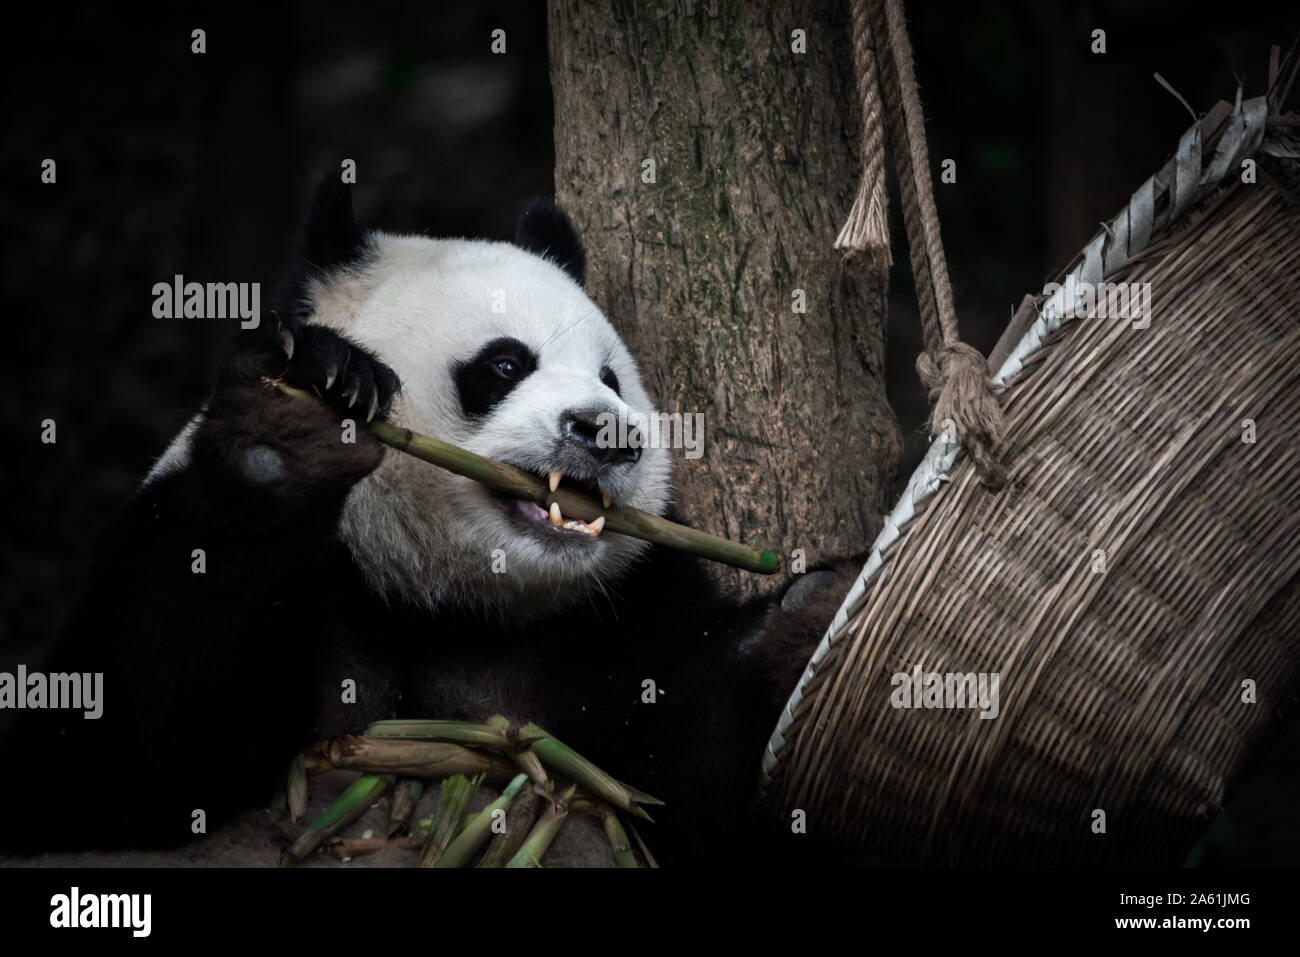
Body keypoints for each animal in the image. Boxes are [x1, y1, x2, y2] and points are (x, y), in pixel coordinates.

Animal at [0, 176, 857, 867]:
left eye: (613, 378)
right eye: (505, 364)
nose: (607, 431)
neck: (445, 601)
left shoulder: (619, 616)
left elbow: (684, 787)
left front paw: (807, 625)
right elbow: (114, 767)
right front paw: (291, 427)